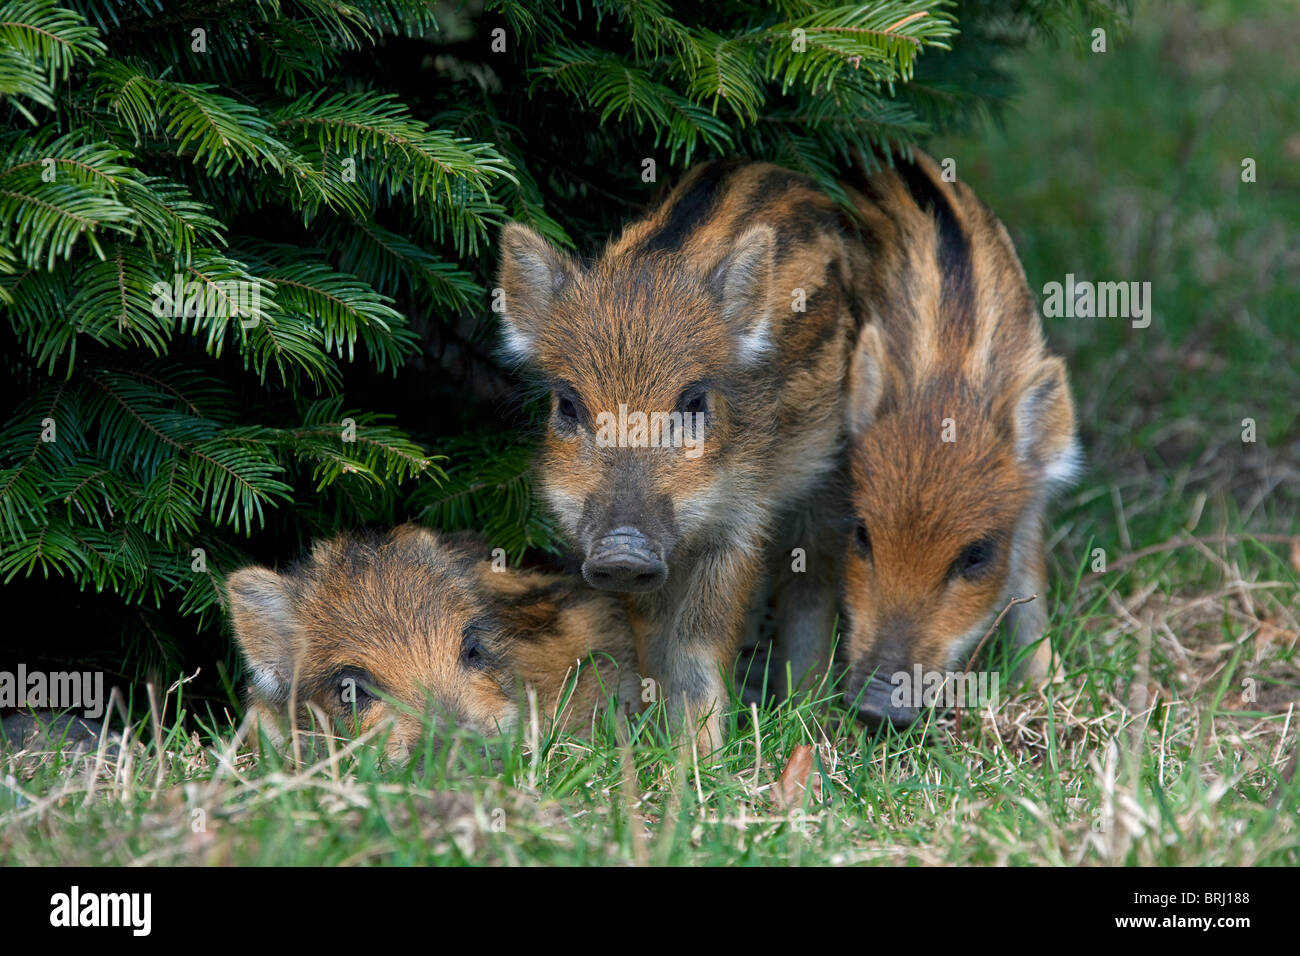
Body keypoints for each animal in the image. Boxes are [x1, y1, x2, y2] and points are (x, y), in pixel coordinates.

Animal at [496, 160, 863, 750]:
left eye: (694, 402)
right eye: (567, 404)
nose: (622, 547)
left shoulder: (740, 519)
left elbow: (699, 642)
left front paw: (701, 756)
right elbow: (651, 637)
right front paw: (657, 739)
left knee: (813, 582)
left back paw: (809, 710)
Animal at [838, 151, 1082, 725]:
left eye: (976, 555)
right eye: (861, 534)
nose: (877, 708)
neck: (949, 363)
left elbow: (1029, 578)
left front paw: (1049, 686)